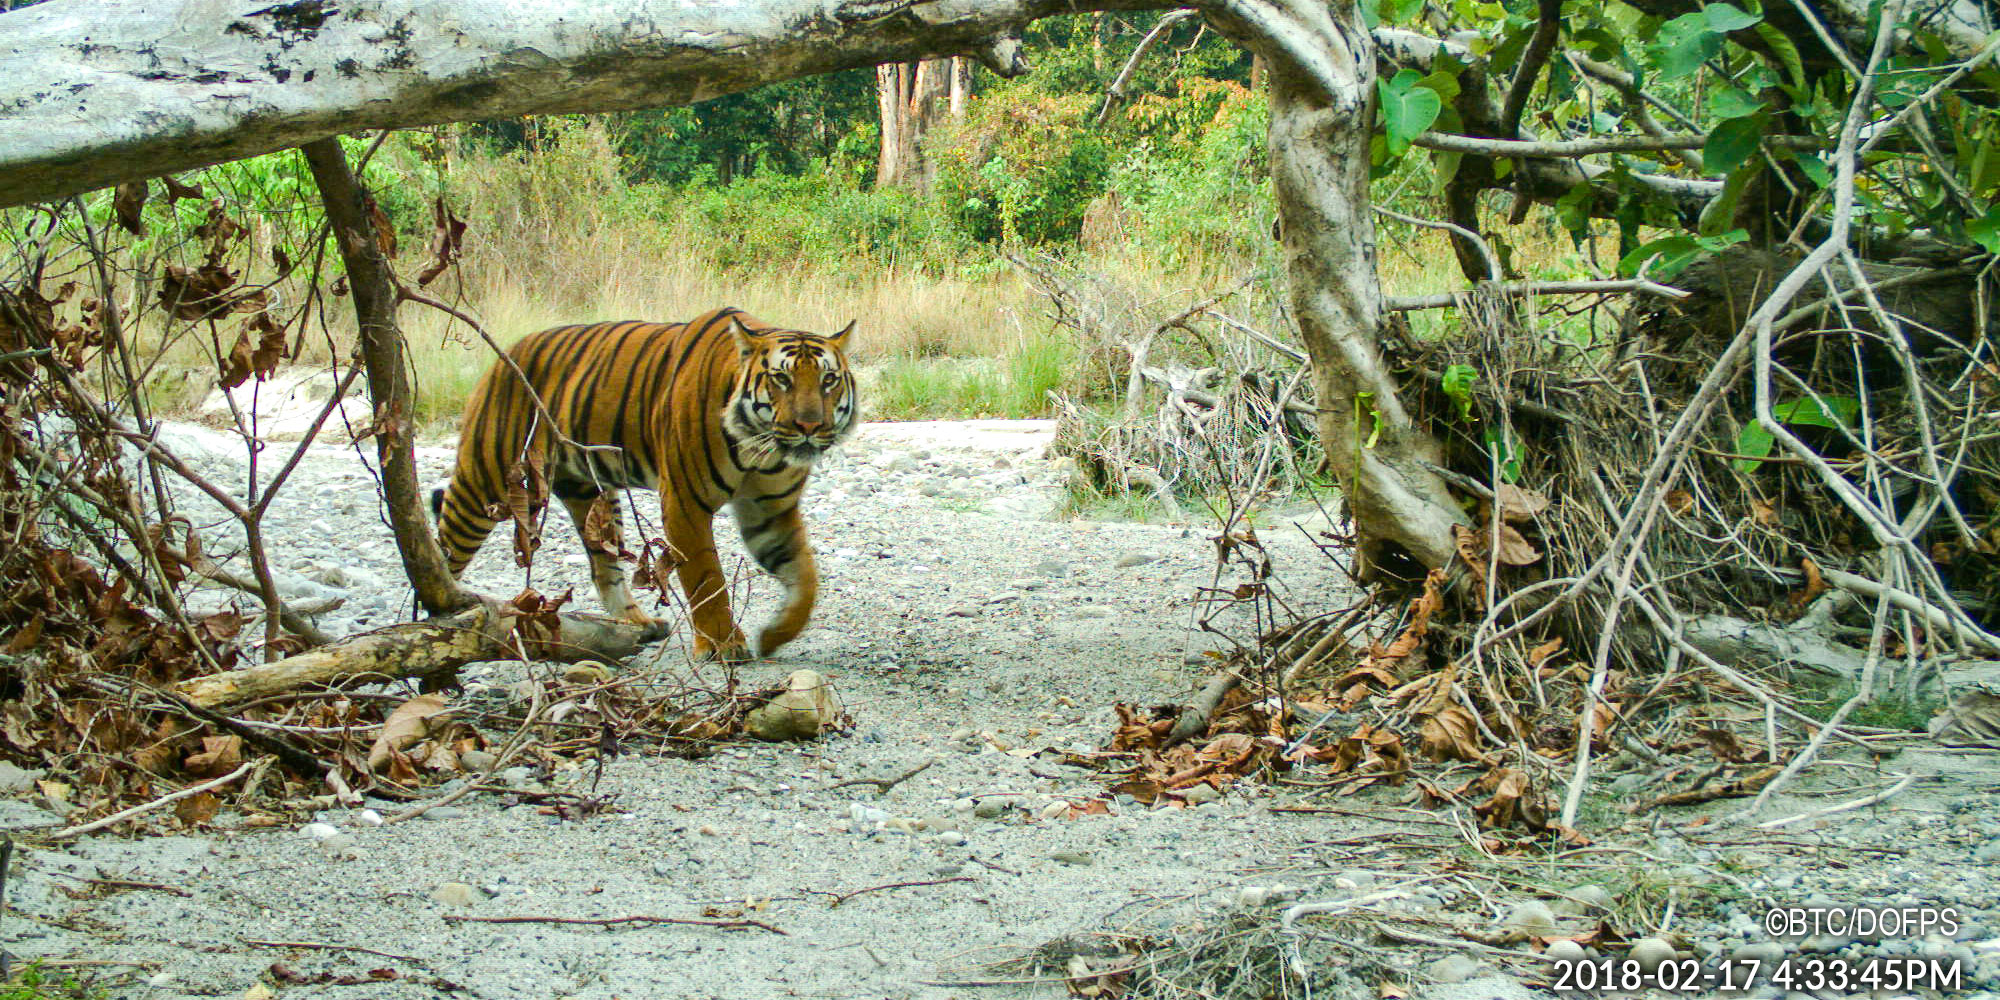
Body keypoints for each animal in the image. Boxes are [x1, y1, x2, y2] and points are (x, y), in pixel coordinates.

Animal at [430, 307, 858, 661]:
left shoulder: (770, 512)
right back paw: (433, 627)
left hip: (593, 496)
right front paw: (723, 644)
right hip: (483, 481)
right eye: (781, 379)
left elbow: (806, 579)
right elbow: (708, 580)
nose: (810, 426)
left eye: (829, 380)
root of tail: (505, 355)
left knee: (603, 566)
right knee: (444, 552)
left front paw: (773, 637)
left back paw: (638, 624)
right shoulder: (685, 506)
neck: (761, 449)